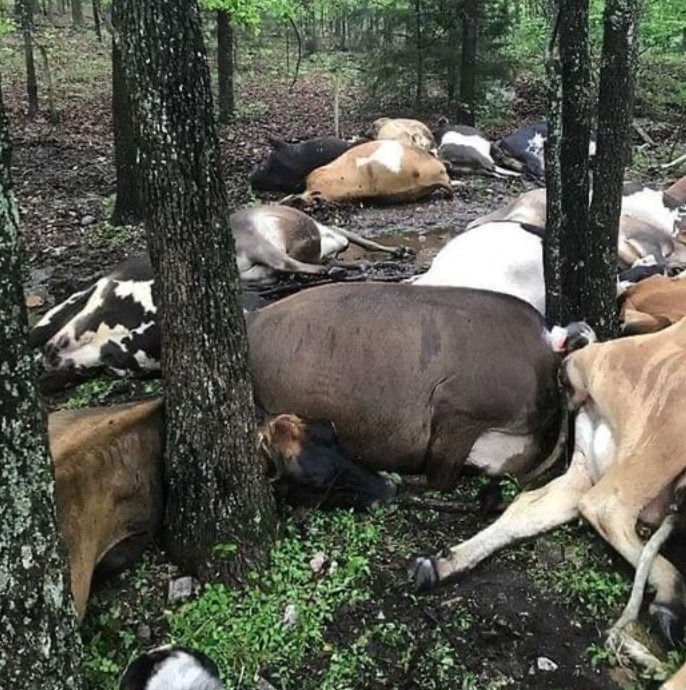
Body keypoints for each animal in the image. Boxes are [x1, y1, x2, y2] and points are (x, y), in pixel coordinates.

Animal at [410, 319, 686, 647]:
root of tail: (583, 361)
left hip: (586, 468)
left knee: (529, 506)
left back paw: (437, 565)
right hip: (661, 435)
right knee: (606, 507)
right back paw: (670, 601)